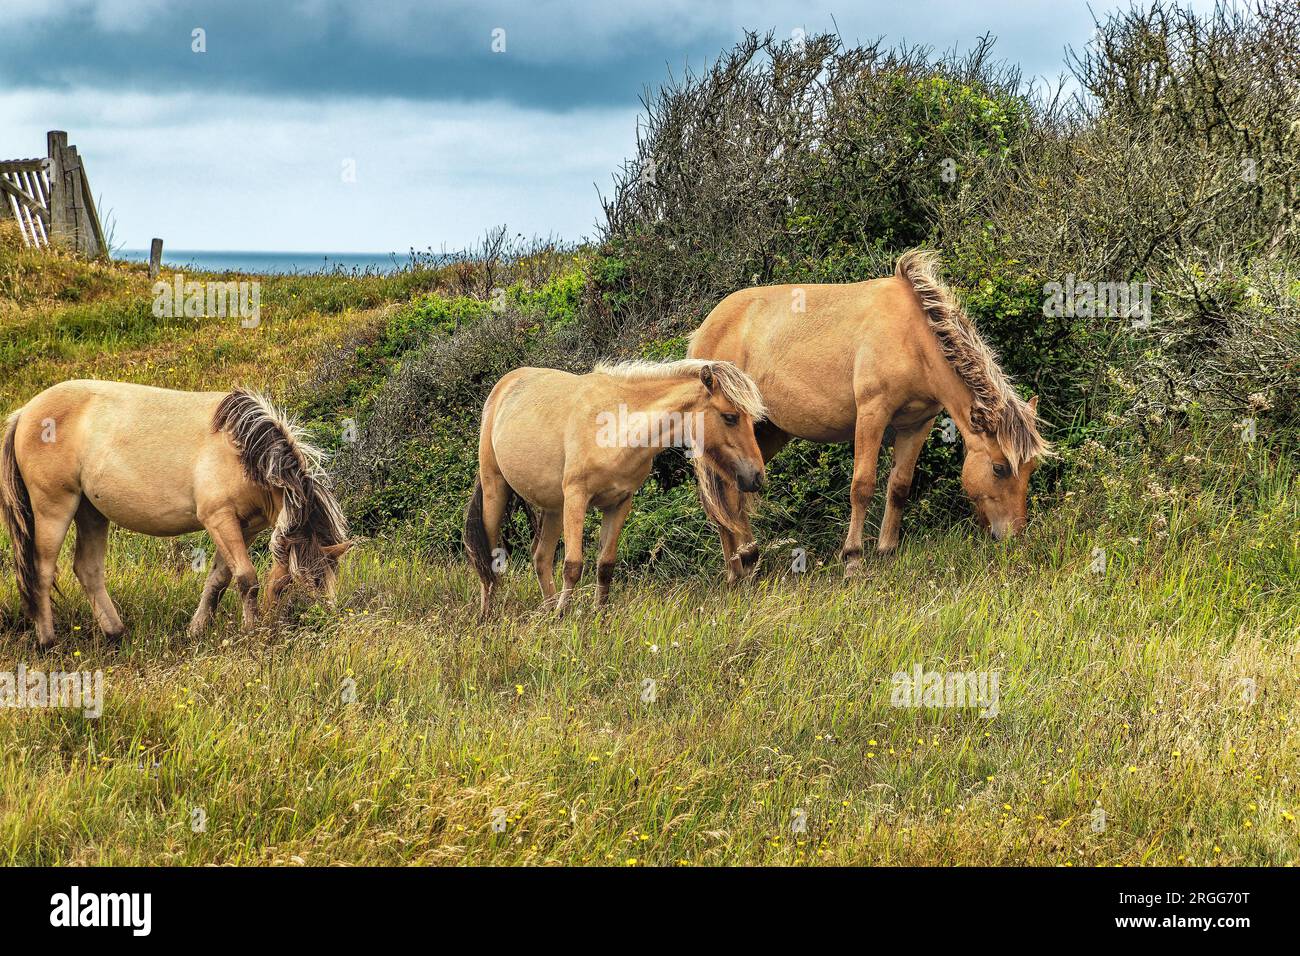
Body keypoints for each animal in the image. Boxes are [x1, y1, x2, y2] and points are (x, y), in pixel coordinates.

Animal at [1, 381, 353, 648]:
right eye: (296, 583)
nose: (321, 623)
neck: (241, 448)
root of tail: (24, 412)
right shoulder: (219, 519)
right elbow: (246, 579)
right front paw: (250, 631)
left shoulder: (244, 527)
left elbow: (219, 580)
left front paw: (196, 629)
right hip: (54, 508)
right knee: (41, 570)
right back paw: (47, 641)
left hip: (91, 512)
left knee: (87, 569)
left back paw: (116, 634)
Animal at [464, 359, 767, 617]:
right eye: (730, 417)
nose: (756, 476)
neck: (615, 427)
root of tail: (502, 387)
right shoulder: (576, 498)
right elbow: (573, 565)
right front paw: (563, 616)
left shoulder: (619, 503)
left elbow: (605, 565)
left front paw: (599, 615)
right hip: (495, 490)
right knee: (487, 558)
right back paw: (488, 614)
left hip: (553, 508)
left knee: (541, 558)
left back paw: (547, 611)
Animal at [687, 249, 1052, 581]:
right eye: (999, 468)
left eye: (1031, 468)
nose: (1015, 536)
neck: (912, 337)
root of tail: (704, 329)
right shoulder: (872, 414)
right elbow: (862, 487)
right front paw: (853, 558)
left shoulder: (918, 425)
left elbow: (899, 486)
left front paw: (887, 550)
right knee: (718, 494)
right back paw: (737, 568)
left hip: (766, 431)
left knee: (733, 490)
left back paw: (746, 562)